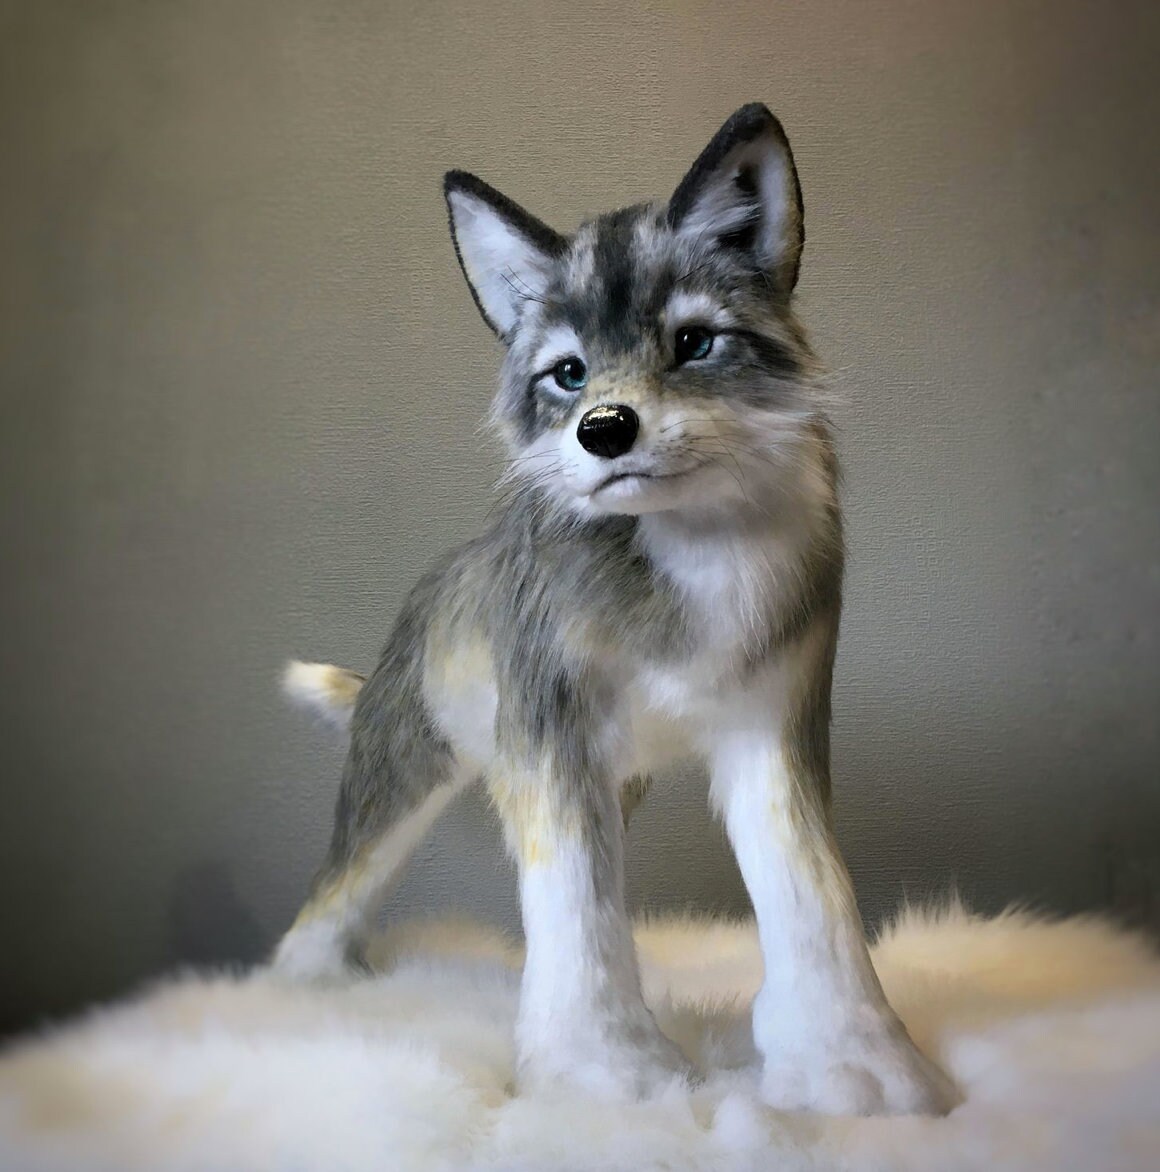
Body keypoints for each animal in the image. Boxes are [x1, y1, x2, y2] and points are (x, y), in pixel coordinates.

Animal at [272, 104, 957, 1116]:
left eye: (694, 342)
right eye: (568, 372)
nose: (606, 429)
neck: (692, 555)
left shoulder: (773, 731)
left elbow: (815, 897)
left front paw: (857, 1067)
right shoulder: (551, 746)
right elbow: (577, 917)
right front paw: (604, 1076)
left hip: (615, 782)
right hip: (402, 779)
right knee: (328, 902)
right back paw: (299, 993)